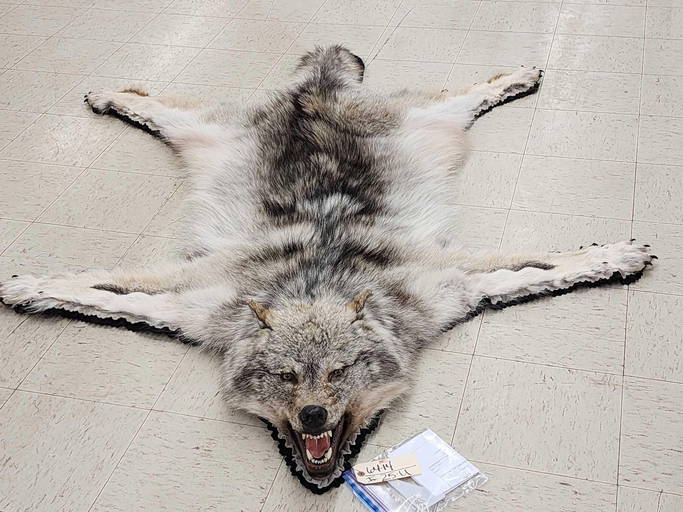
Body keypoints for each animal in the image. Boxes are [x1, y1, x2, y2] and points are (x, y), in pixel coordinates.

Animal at [0, 46, 654, 492]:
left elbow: (549, 264)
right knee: (156, 103)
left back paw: (519, 76)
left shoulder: (452, 282)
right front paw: (27, 284)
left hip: (431, 123)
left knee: (467, 93)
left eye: (341, 371)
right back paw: (112, 97)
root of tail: (313, 94)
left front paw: (615, 257)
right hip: (205, 135)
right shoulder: (196, 300)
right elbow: (87, 288)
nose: (314, 414)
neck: (315, 286)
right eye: (286, 378)